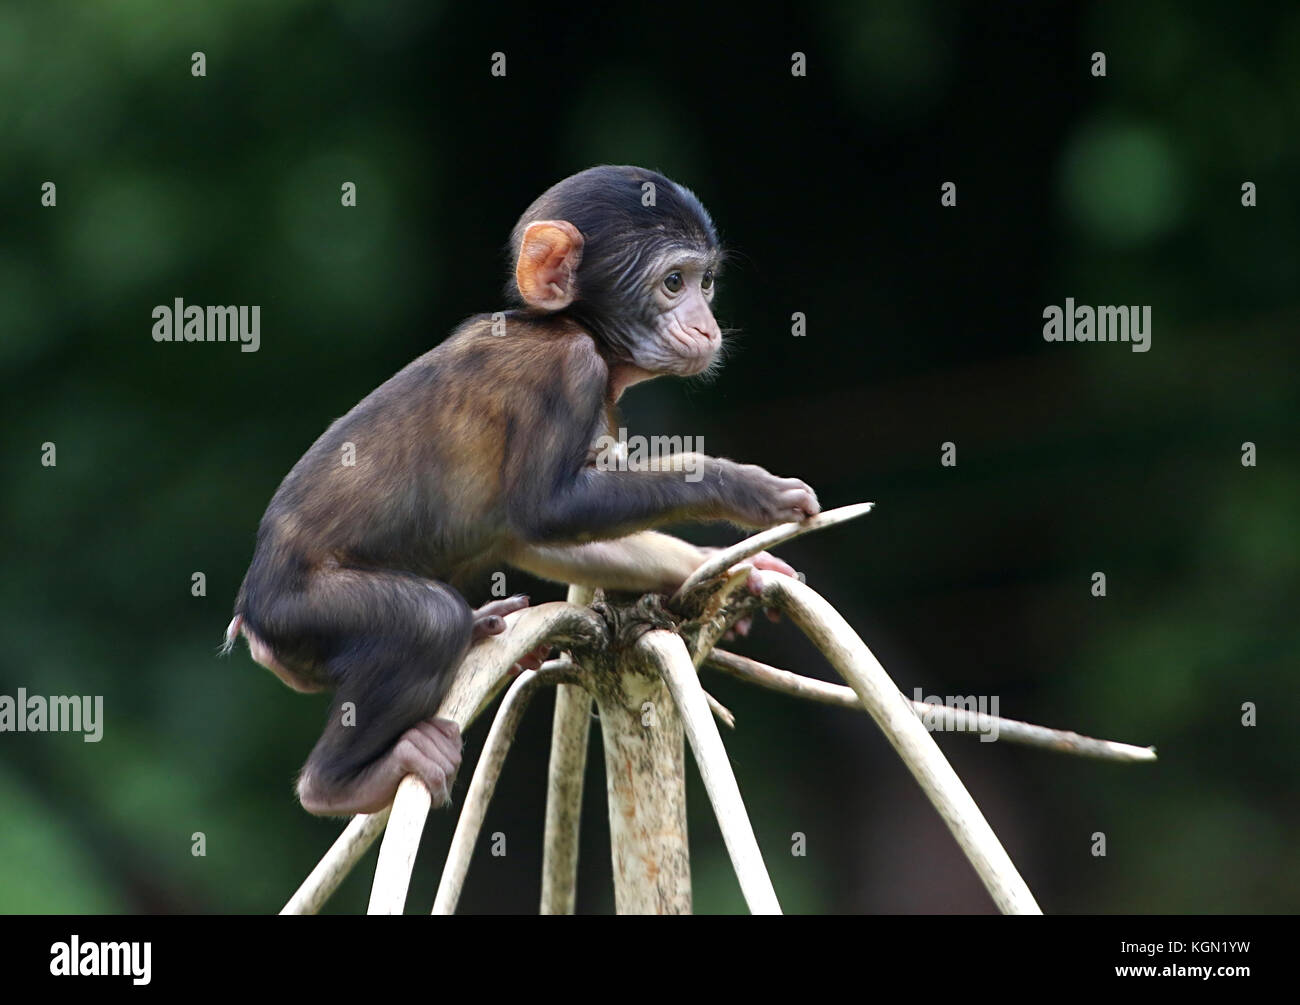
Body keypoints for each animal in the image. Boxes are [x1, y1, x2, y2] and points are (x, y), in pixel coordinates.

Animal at [224, 165, 819, 816]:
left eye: (705, 283)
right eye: (673, 282)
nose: (706, 322)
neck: (575, 326)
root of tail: (254, 626)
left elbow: (536, 539)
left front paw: (733, 566)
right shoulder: (566, 371)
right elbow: (547, 512)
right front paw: (740, 487)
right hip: (303, 611)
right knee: (426, 620)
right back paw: (340, 783)